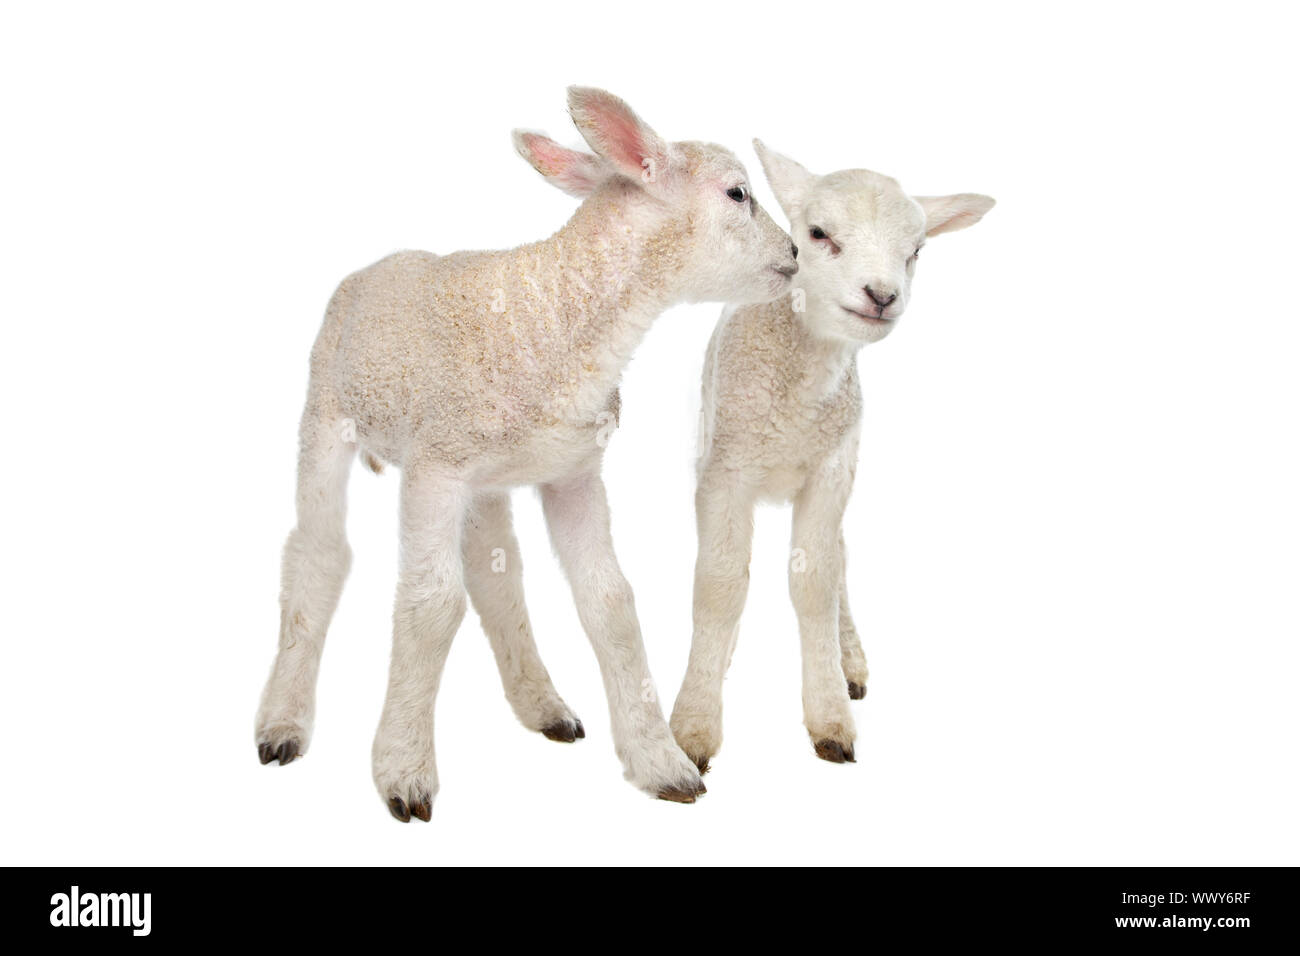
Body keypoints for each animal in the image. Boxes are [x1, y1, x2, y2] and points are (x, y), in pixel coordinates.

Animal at [254, 88, 799, 820]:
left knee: (497, 575)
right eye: (738, 192)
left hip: (487, 477)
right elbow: (431, 606)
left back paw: (542, 705)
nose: (794, 251)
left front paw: (661, 761)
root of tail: (377, 263)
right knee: (317, 553)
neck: (561, 308)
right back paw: (283, 721)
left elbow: (611, 603)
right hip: (325, 409)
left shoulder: (573, 471)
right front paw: (404, 771)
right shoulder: (433, 466)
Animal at [668, 141, 994, 772]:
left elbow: (816, 582)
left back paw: (851, 661)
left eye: (916, 251)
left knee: (840, 558)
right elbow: (719, 585)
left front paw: (830, 715)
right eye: (818, 233)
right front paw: (694, 724)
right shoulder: (724, 469)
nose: (882, 296)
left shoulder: (831, 470)